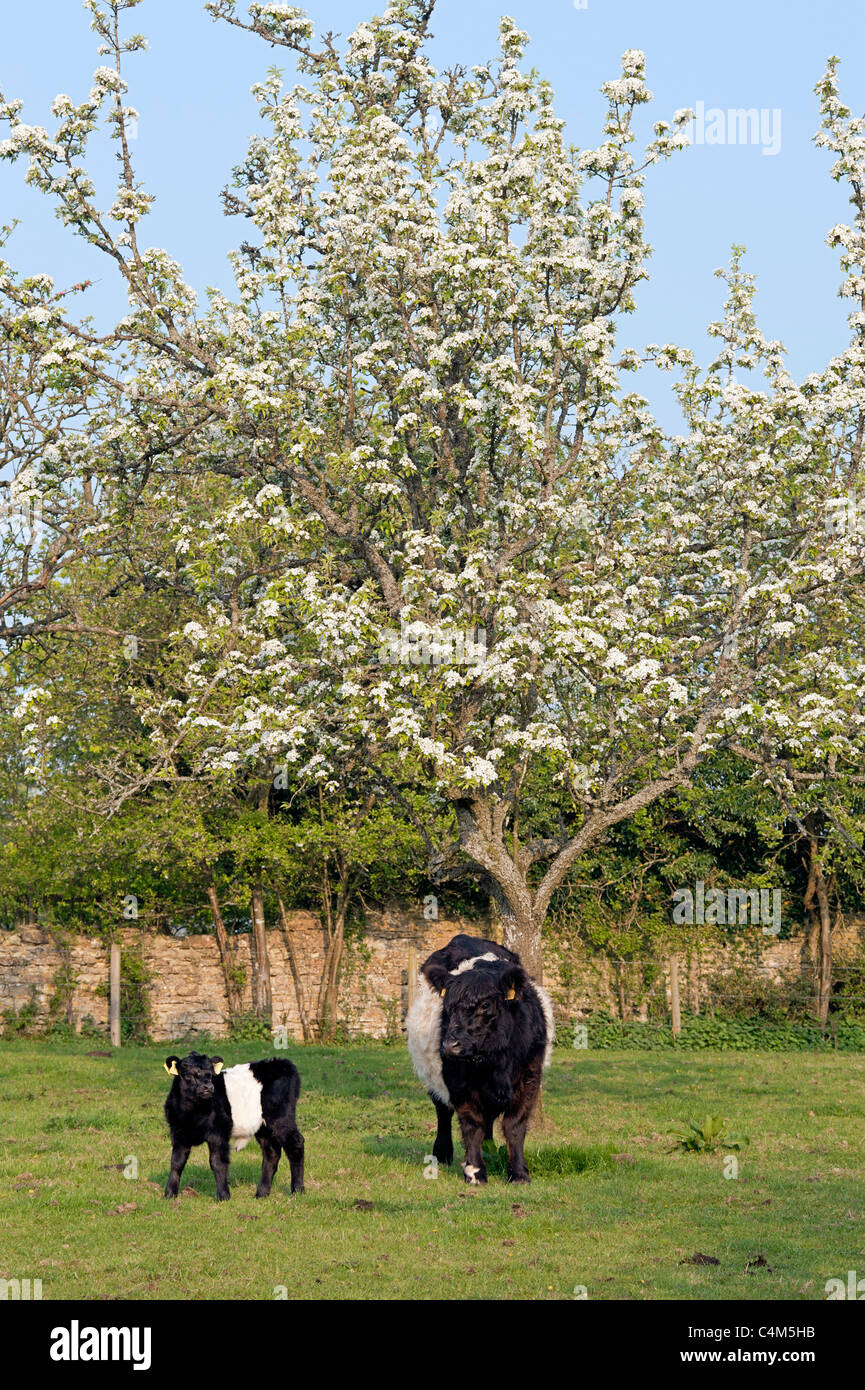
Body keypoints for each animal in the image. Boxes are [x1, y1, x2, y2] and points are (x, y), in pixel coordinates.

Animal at [162, 1052, 304, 1200]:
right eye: (187, 1074)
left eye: (211, 1074)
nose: (208, 1087)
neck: (192, 1113)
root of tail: (282, 1063)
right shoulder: (178, 1134)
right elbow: (176, 1163)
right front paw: (169, 1194)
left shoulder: (218, 1133)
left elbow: (217, 1162)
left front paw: (224, 1195)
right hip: (264, 1128)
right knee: (271, 1153)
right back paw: (262, 1193)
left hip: (281, 1118)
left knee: (295, 1143)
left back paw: (297, 1190)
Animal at [406, 934, 554, 1184]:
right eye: (447, 1007)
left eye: (485, 1005)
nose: (450, 1045)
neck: (495, 1063)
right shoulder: (459, 1085)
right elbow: (472, 1125)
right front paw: (475, 1172)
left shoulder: (530, 1078)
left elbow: (514, 1126)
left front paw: (519, 1173)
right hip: (432, 1077)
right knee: (443, 1113)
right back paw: (442, 1154)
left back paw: (490, 1151)